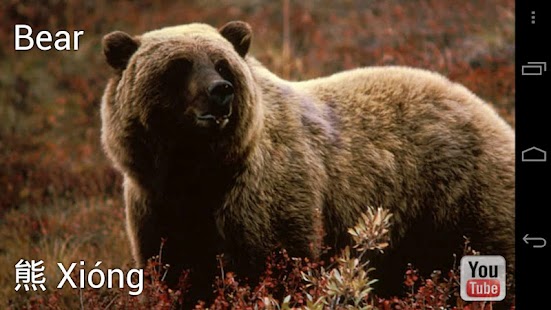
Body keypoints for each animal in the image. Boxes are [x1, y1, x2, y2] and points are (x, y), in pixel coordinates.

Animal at [101, 20, 516, 304]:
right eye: (180, 65)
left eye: (221, 64)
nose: (221, 92)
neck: (196, 173)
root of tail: (488, 110)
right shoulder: (156, 207)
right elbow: (174, 274)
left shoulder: (264, 198)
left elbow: (276, 266)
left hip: (459, 199)